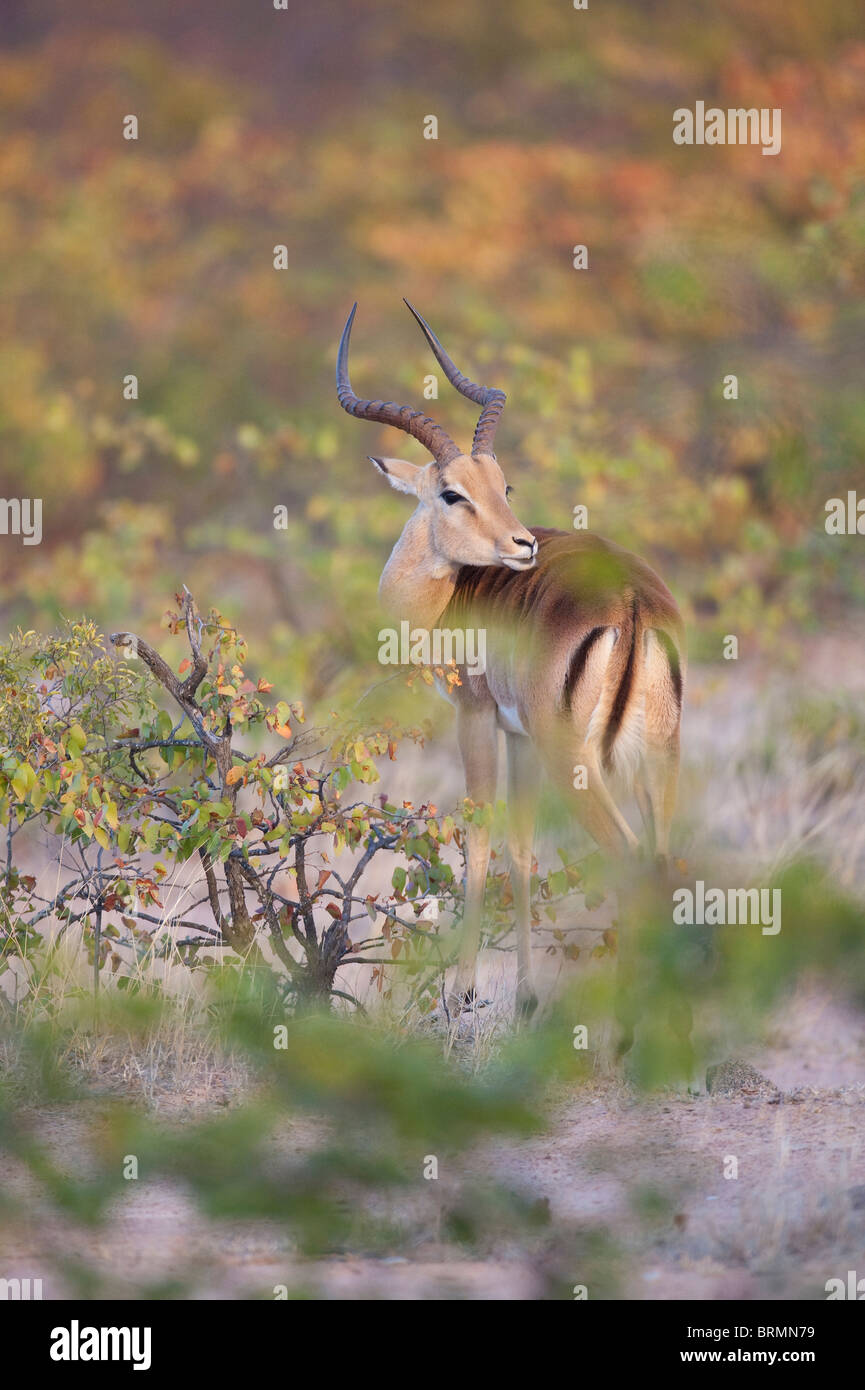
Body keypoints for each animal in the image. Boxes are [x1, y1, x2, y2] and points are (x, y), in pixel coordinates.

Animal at [336, 301, 685, 1019]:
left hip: (574, 759)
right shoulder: (517, 734)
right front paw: (524, 995)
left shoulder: (475, 717)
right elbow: (522, 849)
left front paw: (464, 993)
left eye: (502, 485)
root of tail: (633, 603)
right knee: (661, 858)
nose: (523, 544)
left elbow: (480, 840)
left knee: (631, 856)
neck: (443, 597)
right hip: (657, 753)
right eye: (454, 492)